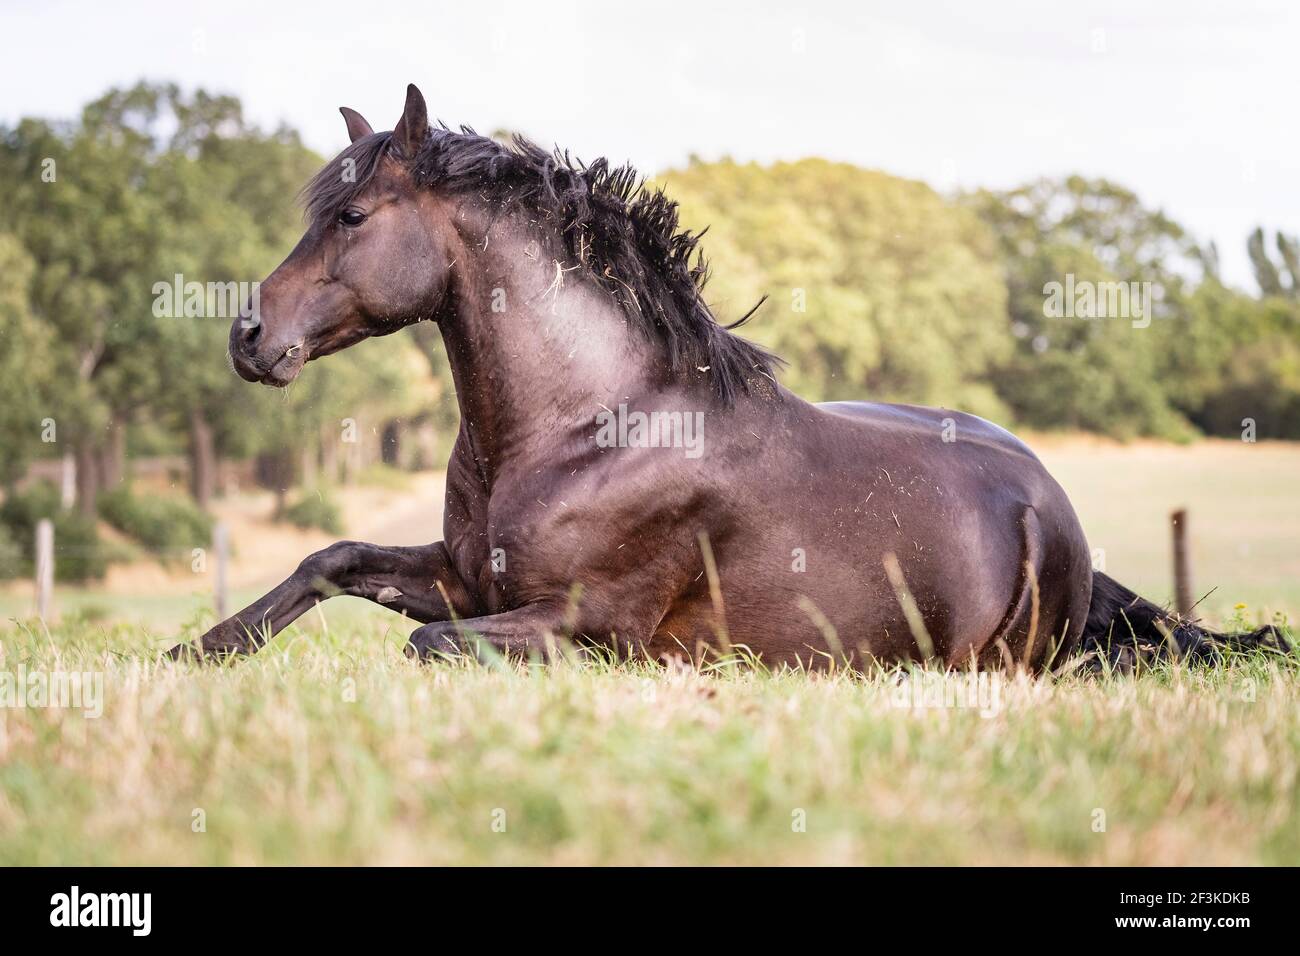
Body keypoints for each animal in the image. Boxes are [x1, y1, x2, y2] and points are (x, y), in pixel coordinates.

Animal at [168, 84, 1282, 672]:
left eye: (352, 217)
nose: (248, 336)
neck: (589, 429)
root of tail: (1049, 502)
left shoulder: (593, 625)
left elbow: (428, 646)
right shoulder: (463, 574)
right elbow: (330, 558)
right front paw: (196, 654)